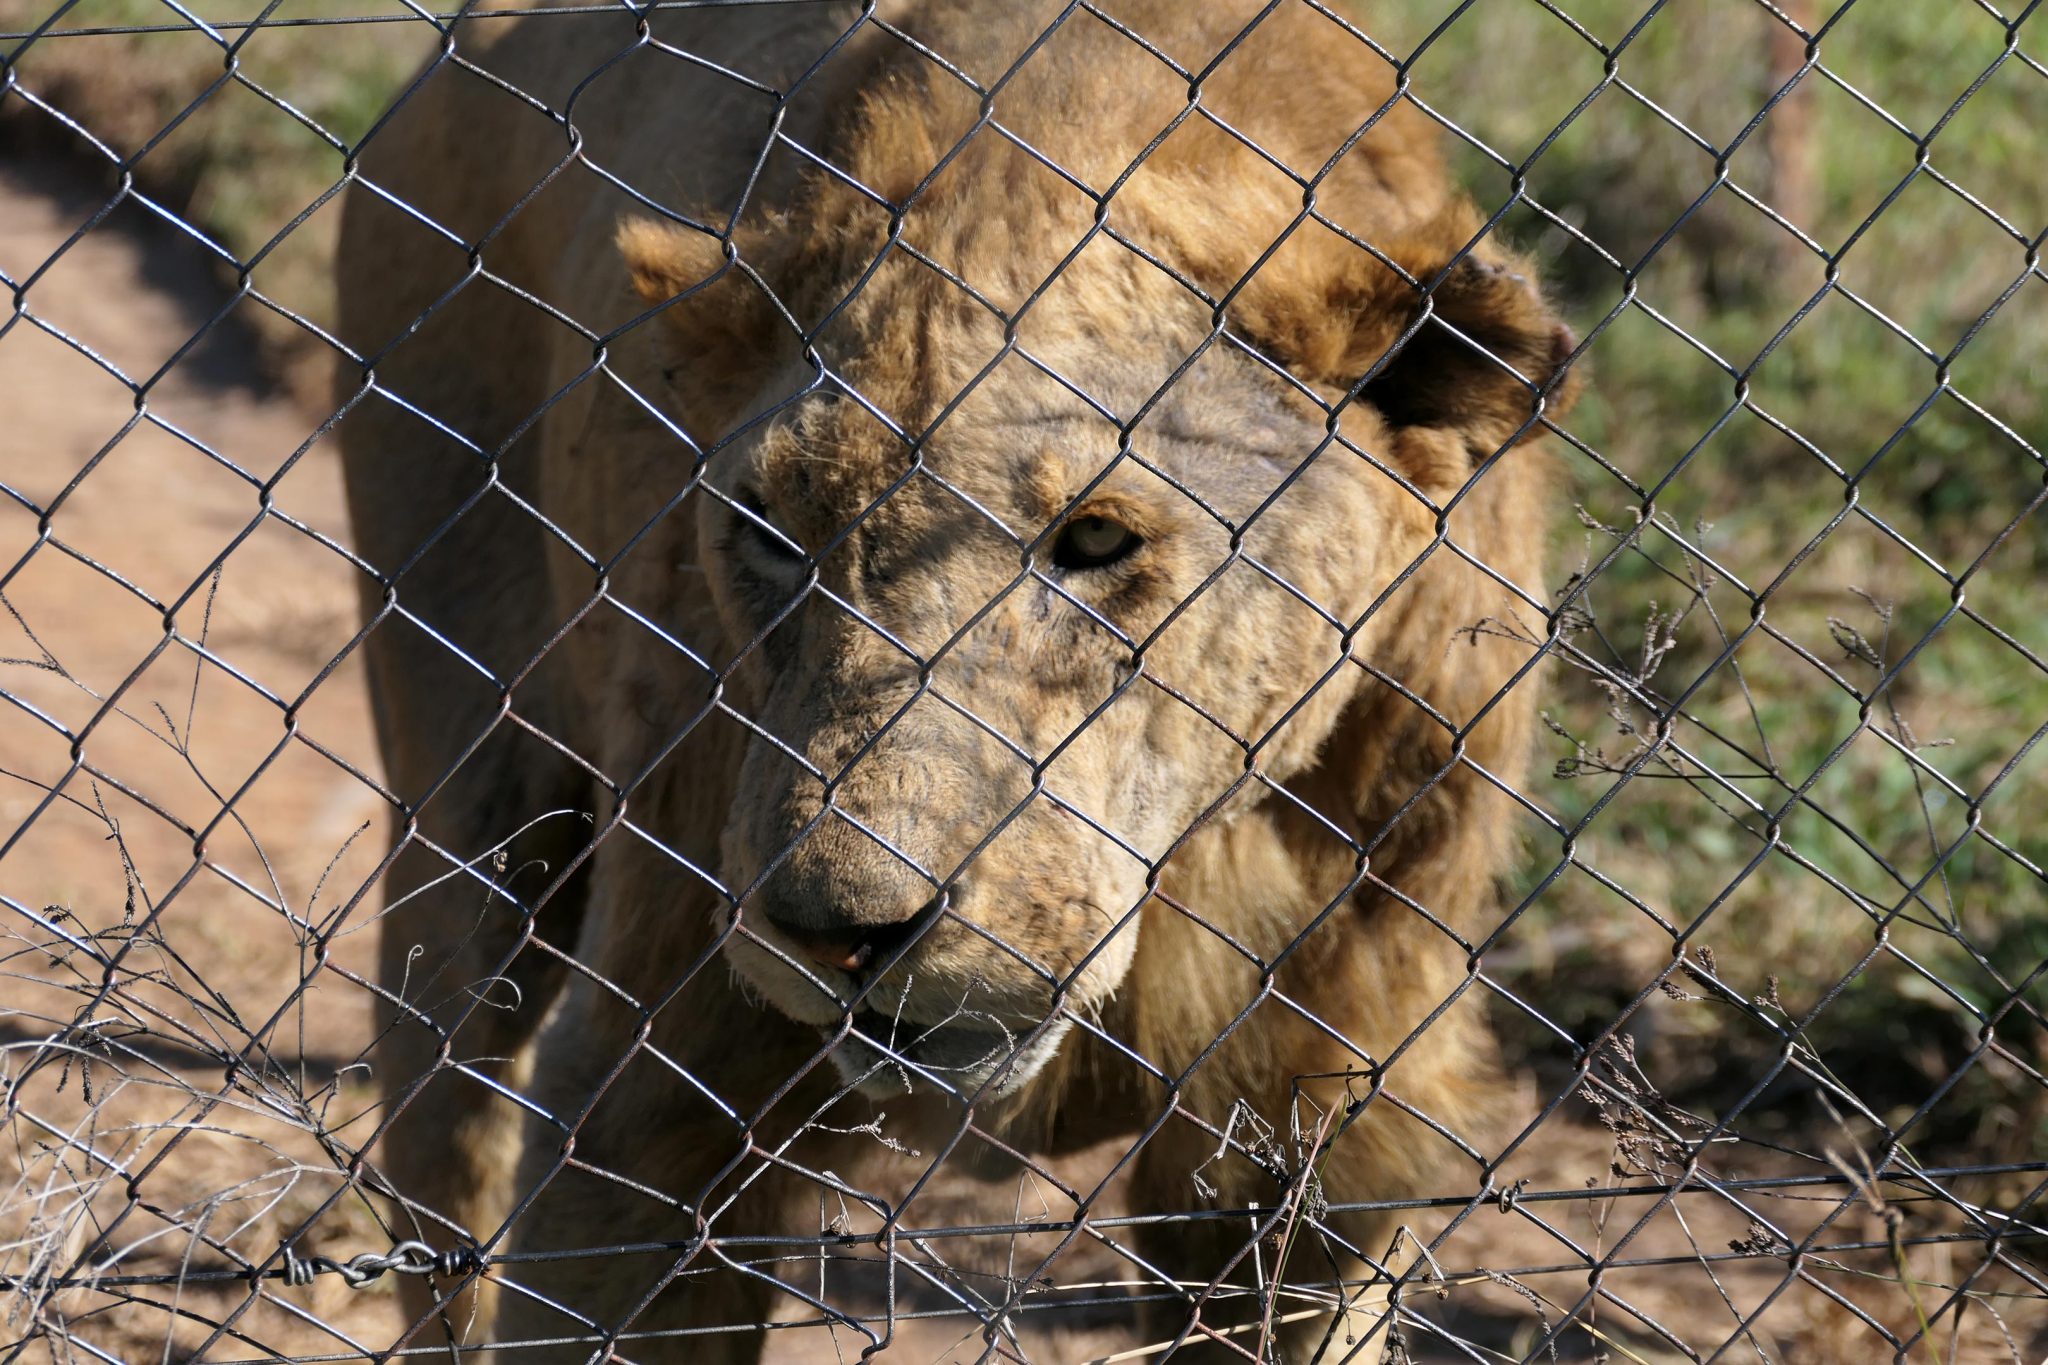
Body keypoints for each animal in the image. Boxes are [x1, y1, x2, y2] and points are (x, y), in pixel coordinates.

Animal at [333, 1, 1577, 1359]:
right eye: (769, 530)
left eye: (1096, 539)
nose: (837, 936)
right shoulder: (662, 1090)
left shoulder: (1315, 1131)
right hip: (480, 775)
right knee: (443, 1094)